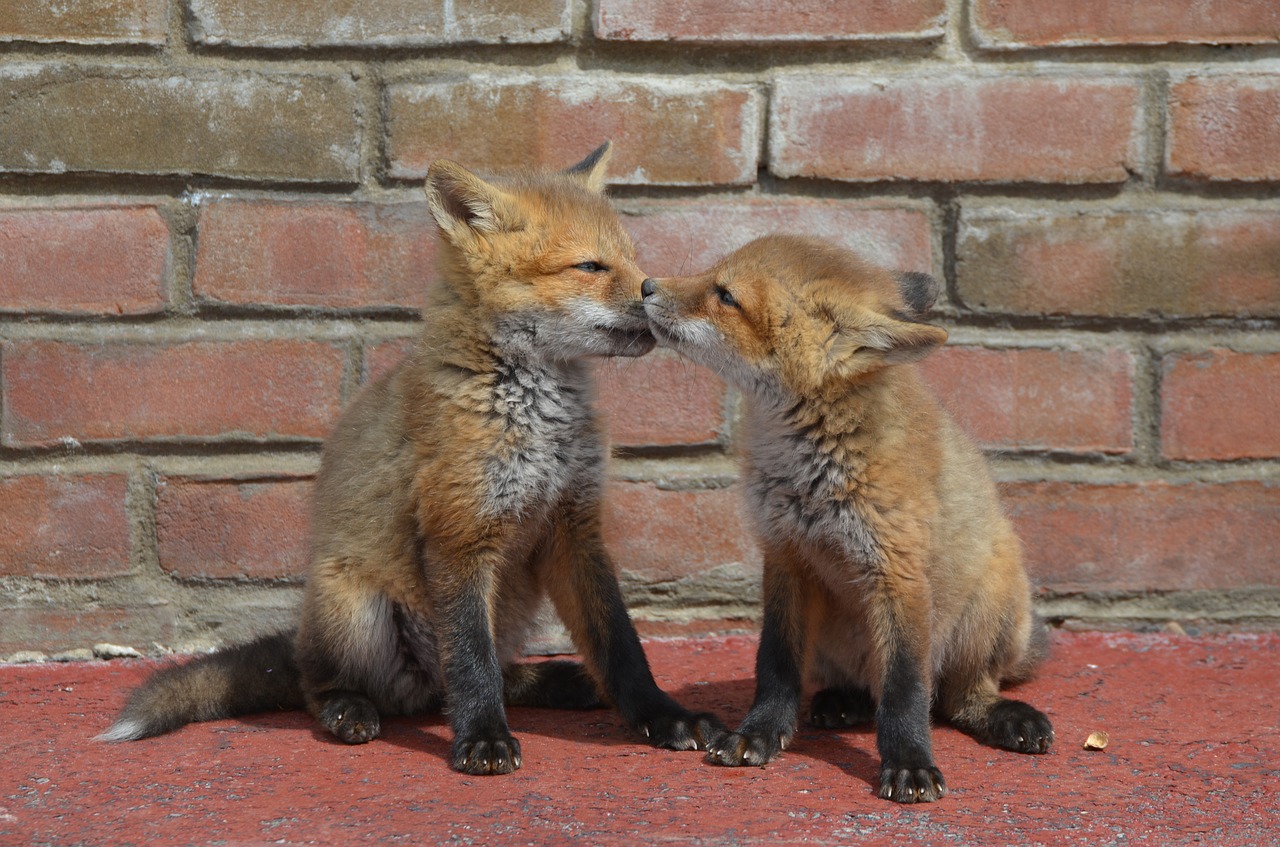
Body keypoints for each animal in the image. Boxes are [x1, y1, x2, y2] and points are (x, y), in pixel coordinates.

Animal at [100, 143, 723, 774]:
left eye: (631, 258)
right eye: (590, 267)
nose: (652, 290)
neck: (537, 414)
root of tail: (417, 690)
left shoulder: (575, 530)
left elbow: (619, 646)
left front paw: (662, 717)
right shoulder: (458, 532)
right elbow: (470, 660)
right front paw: (483, 737)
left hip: (511, 606)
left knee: (485, 674)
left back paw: (550, 683)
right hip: (355, 609)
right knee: (330, 683)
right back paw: (348, 709)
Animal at [640, 234, 1053, 803]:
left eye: (725, 295)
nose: (644, 285)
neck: (811, 469)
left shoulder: (897, 572)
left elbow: (904, 689)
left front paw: (908, 762)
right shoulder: (785, 558)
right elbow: (775, 665)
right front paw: (760, 733)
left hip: (991, 610)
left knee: (952, 698)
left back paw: (1002, 715)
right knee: (870, 688)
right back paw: (844, 701)